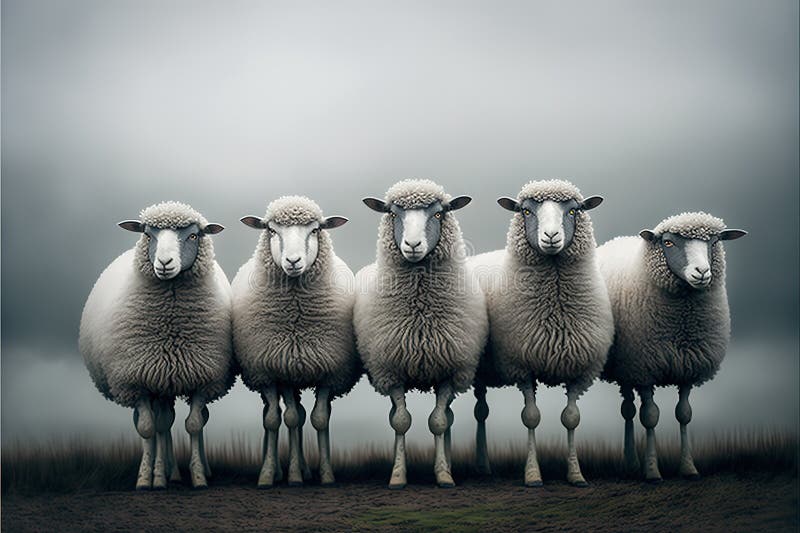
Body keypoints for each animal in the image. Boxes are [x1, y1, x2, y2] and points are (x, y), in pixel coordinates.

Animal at [79, 201, 234, 490]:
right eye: (148, 234)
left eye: (193, 235)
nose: (164, 263)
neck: (170, 330)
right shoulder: (135, 380)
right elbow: (147, 429)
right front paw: (146, 479)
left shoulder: (202, 377)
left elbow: (194, 425)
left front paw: (198, 476)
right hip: (153, 381)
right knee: (158, 426)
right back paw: (163, 473)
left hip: (165, 380)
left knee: (170, 423)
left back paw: (174, 473)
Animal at [232, 196, 360, 487]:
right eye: (271, 230)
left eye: (315, 230)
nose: (293, 260)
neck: (296, 322)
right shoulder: (276, 369)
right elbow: (279, 420)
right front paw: (276, 474)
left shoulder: (328, 371)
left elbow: (319, 419)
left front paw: (325, 474)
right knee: (280, 416)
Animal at [354, 179, 488, 488]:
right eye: (393, 213)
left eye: (439, 213)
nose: (412, 245)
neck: (420, 317)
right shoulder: (391, 371)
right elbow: (400, 421)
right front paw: (398, 475)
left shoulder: (448, 370)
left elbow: (438, 422)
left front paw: (443, 474)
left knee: (447, 417)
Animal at [469, 179, 613, 487]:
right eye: (526, 211)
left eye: (574, 210)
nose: (550, 236)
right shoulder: (523, 366)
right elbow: (531, 417)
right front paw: (533, 474)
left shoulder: (579, 369)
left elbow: (571, 418)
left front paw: (576, 474)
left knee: (480, 412)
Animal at [597, 212, 747, 482]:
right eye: (668, 242)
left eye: (714, 241)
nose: (702, 272)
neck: (682, 325)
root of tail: (617, 239)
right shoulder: (645, 369)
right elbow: (650, 417)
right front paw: (652, 471)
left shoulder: (688, 366)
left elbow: (684, 414)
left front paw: (688, 468)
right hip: (628, 366)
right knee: (628, 411)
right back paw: (631, 463)